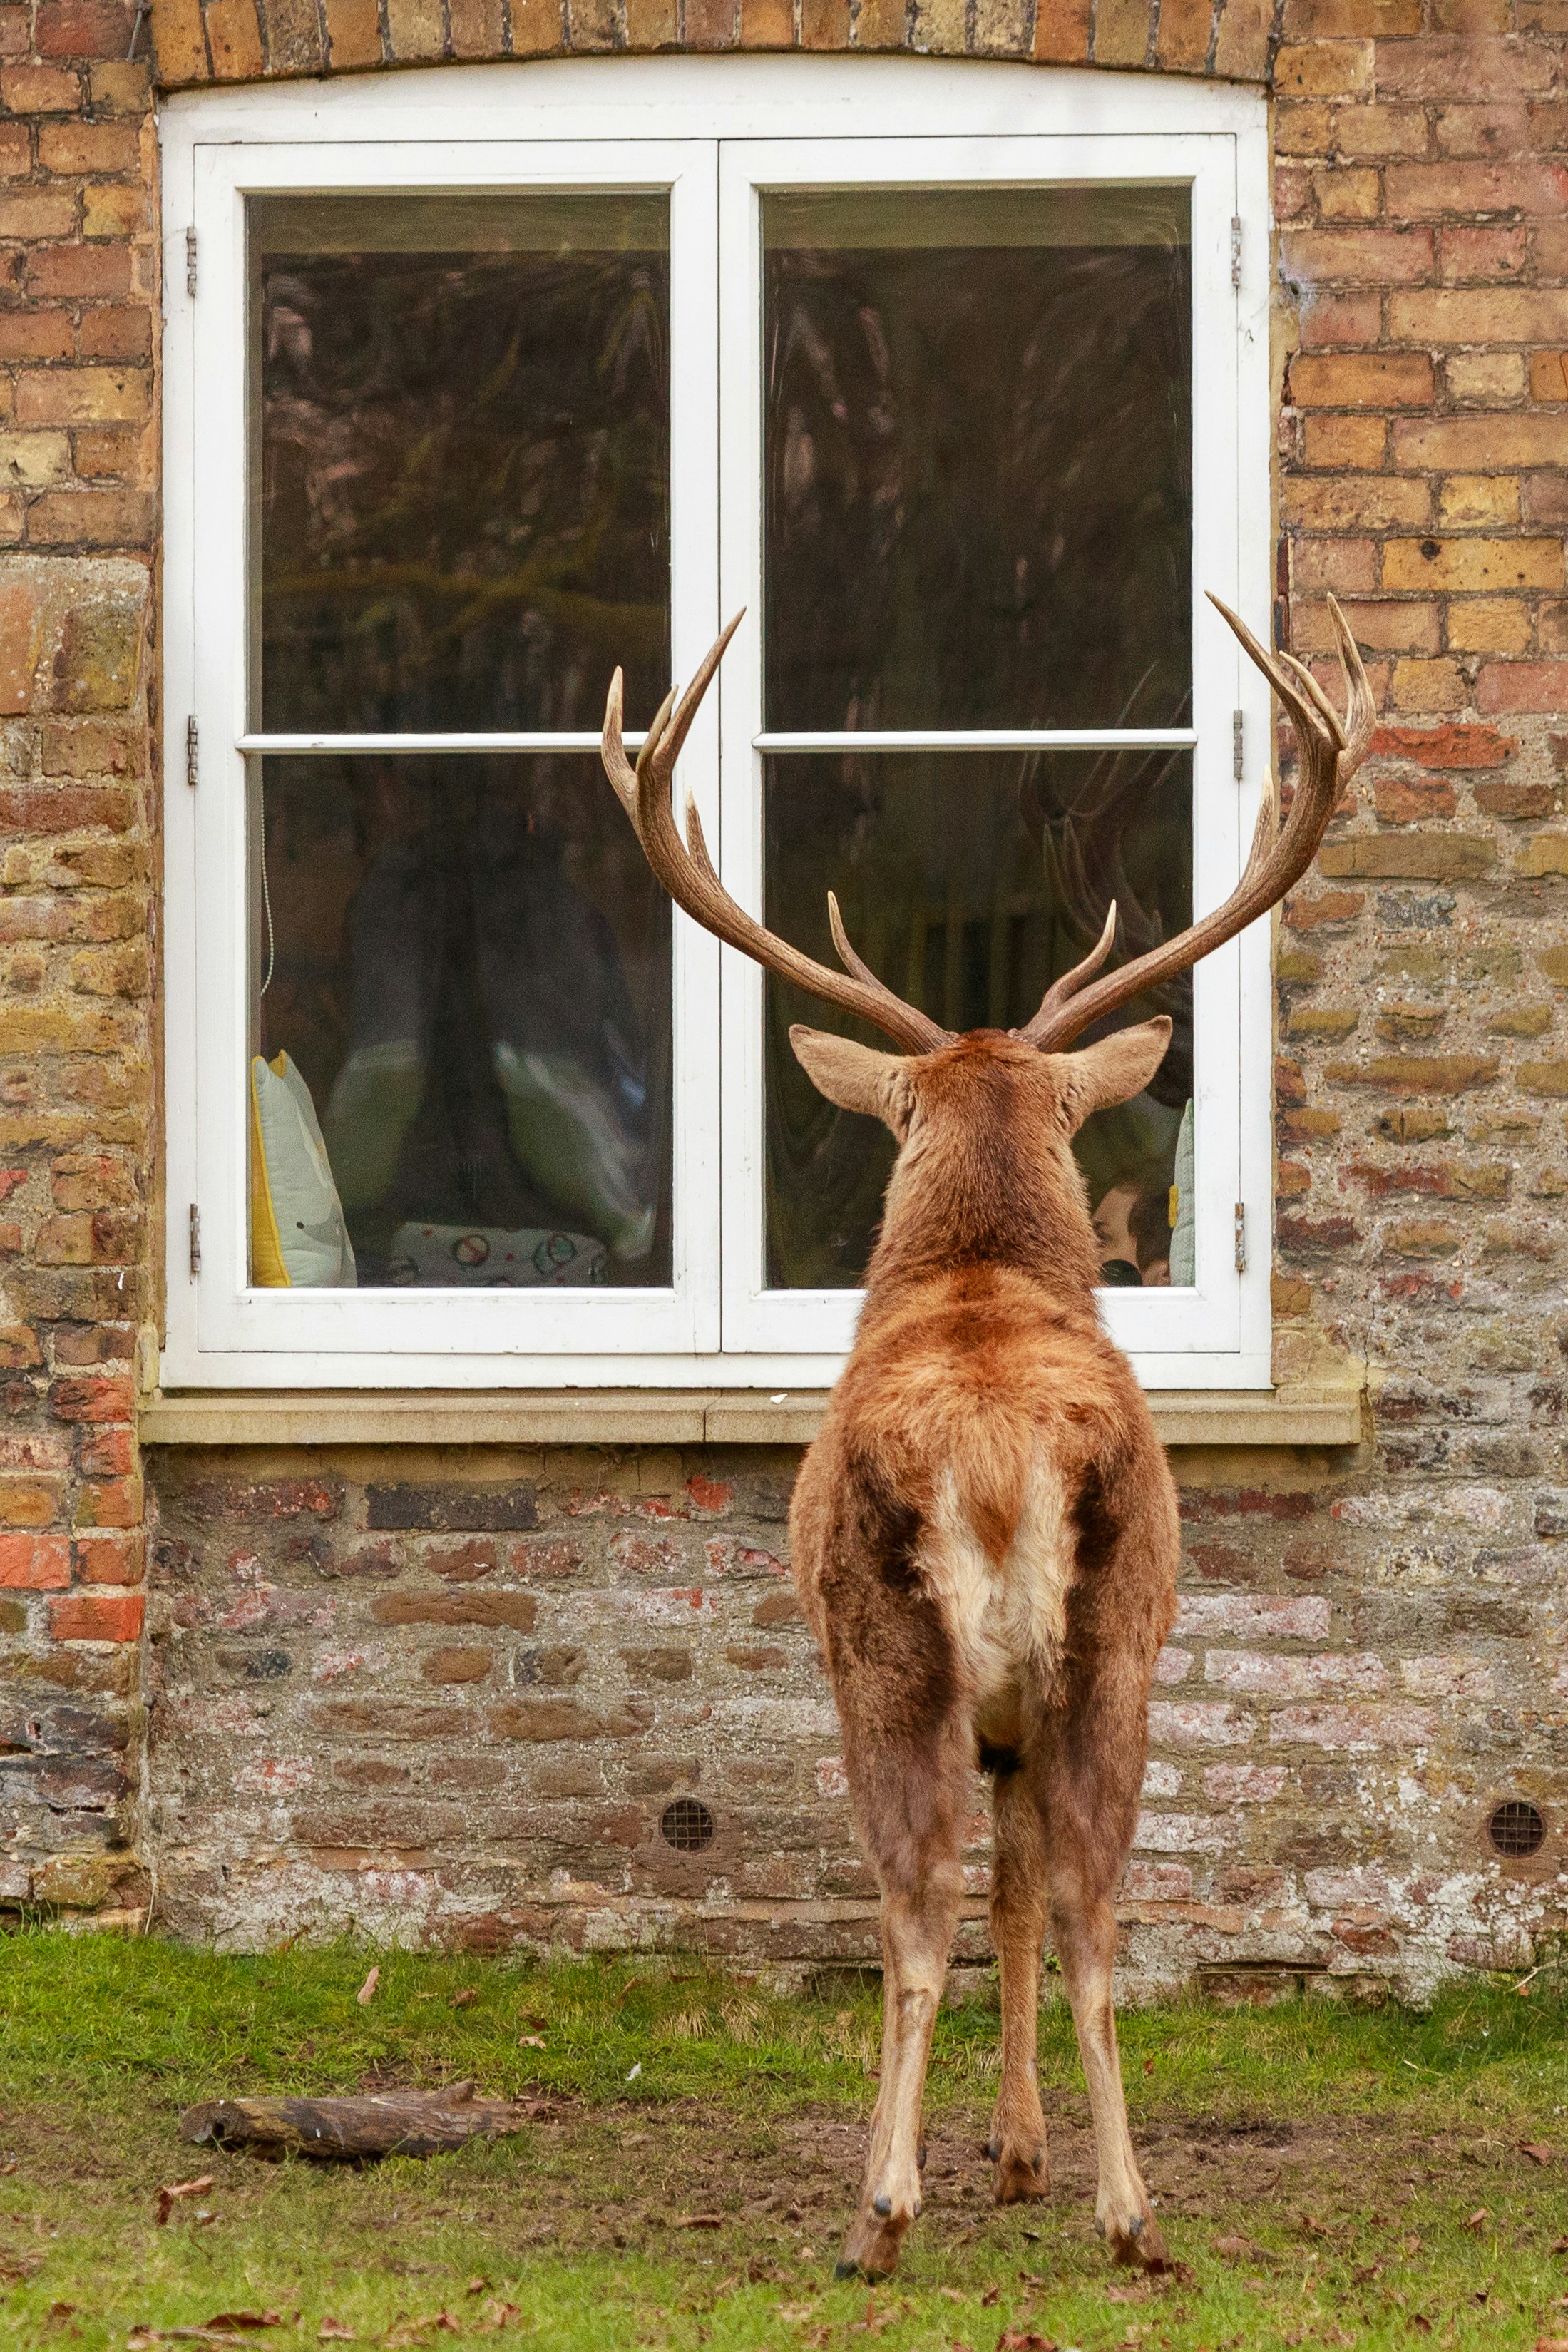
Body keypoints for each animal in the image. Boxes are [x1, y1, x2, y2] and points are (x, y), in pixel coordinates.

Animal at [599, 594, 1373, 2283]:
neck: (973, 1280)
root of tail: (1004, 1462)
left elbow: (966, 1905)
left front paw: (972, 2164)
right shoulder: (1040, 1701)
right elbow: (1024, 1898)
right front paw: (1021, 2154)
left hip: (892, 1653)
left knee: (913, 1909)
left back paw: (879, 2212)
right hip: (1112, 1646)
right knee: (1084, 1903)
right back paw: (1129, 2212)